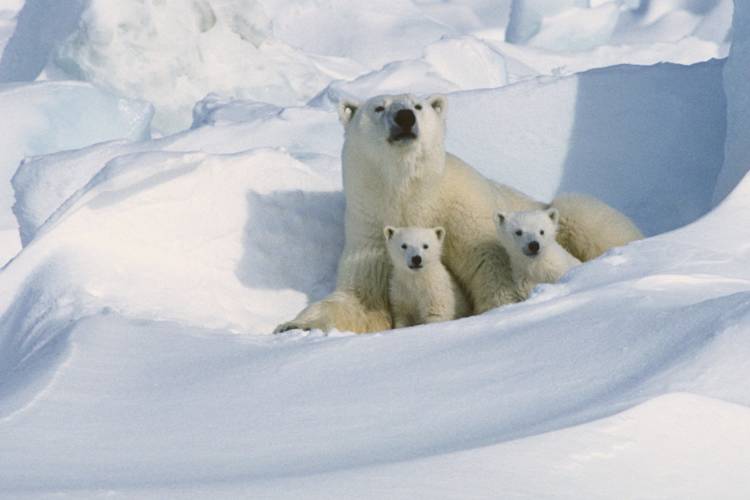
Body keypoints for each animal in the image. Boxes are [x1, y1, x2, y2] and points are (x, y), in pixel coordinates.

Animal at [274, 95, 640, 334]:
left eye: (417, 105)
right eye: (379, 106)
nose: (405, 117)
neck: (411, 197)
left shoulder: (464, 213)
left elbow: (490, 266)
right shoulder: (371, 231)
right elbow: (361, 298)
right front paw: (294, 325)